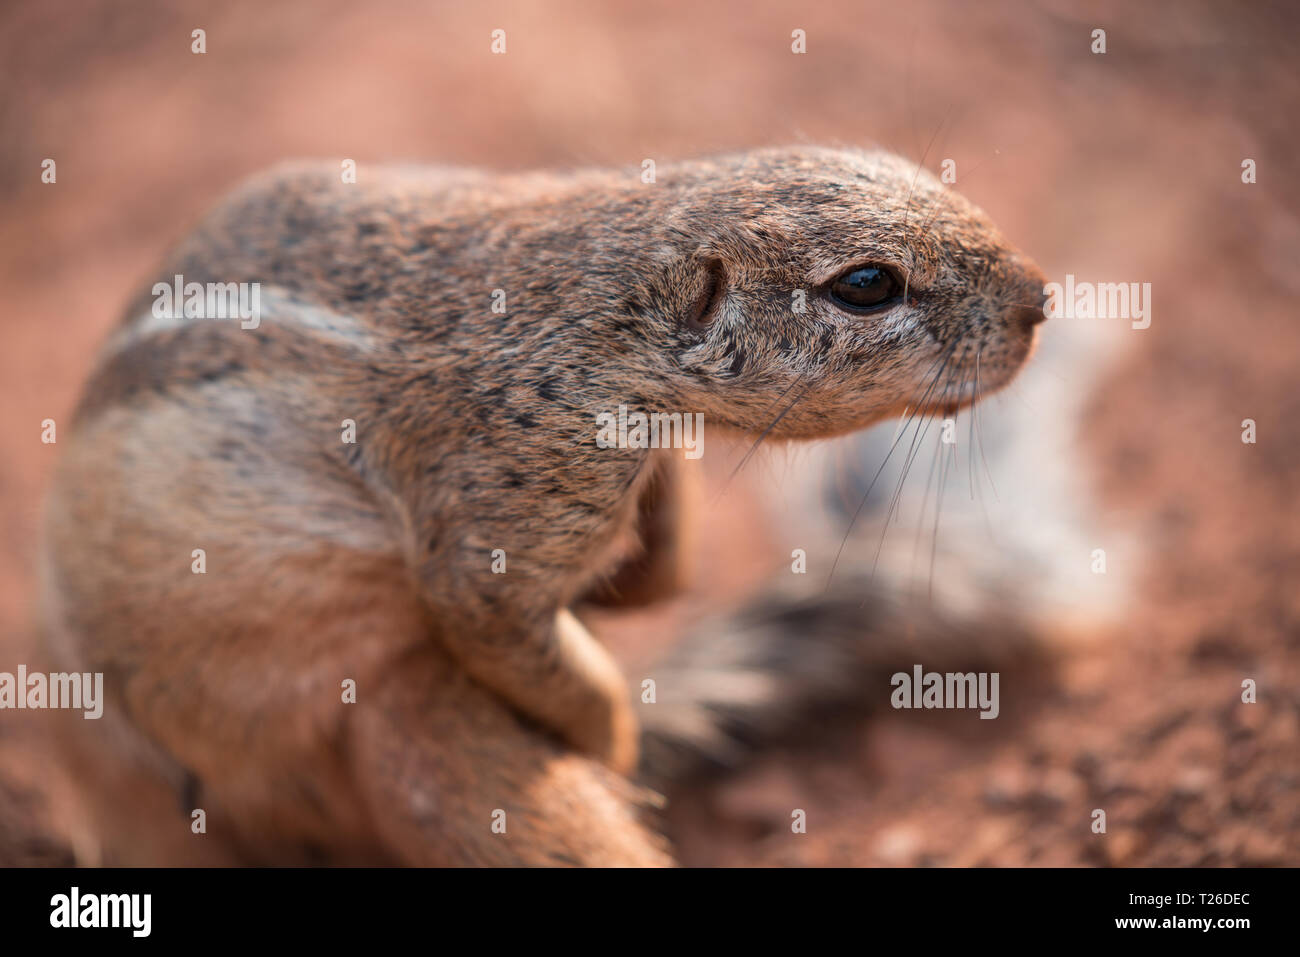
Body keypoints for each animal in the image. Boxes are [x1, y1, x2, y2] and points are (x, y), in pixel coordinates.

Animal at [39, 147, 1046, 865]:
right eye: (866, 284)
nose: (1041, 296)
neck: (607, 312)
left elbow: (650, 579)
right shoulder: (514, 502)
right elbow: (506, 628)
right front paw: (615, 740)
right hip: (395, 718)